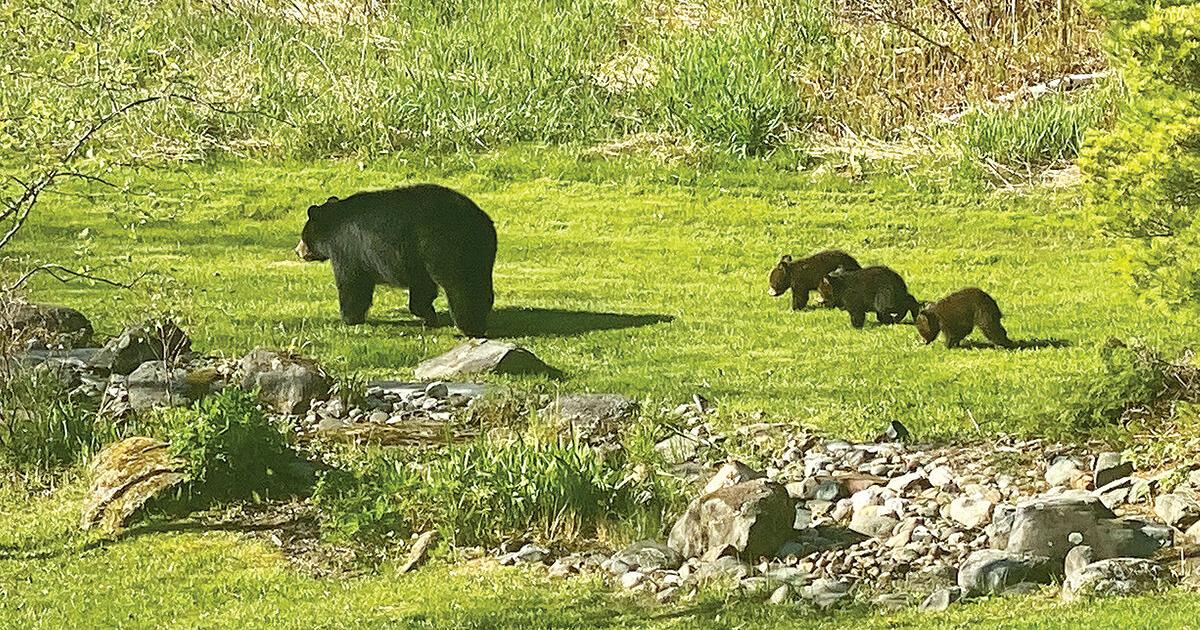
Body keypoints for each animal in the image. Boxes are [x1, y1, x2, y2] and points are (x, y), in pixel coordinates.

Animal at [295, 184, 497, 338]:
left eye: (303, 235)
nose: (297, 251)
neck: (335, 223)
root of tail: (478, 220)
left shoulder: (348, 248)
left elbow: (352, 283)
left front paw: (349, 319)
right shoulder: (414, 260)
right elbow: (422, 288)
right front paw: (429, 316)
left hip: (444, 248)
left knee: (460, 286)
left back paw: (469, 327)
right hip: (479, 254)